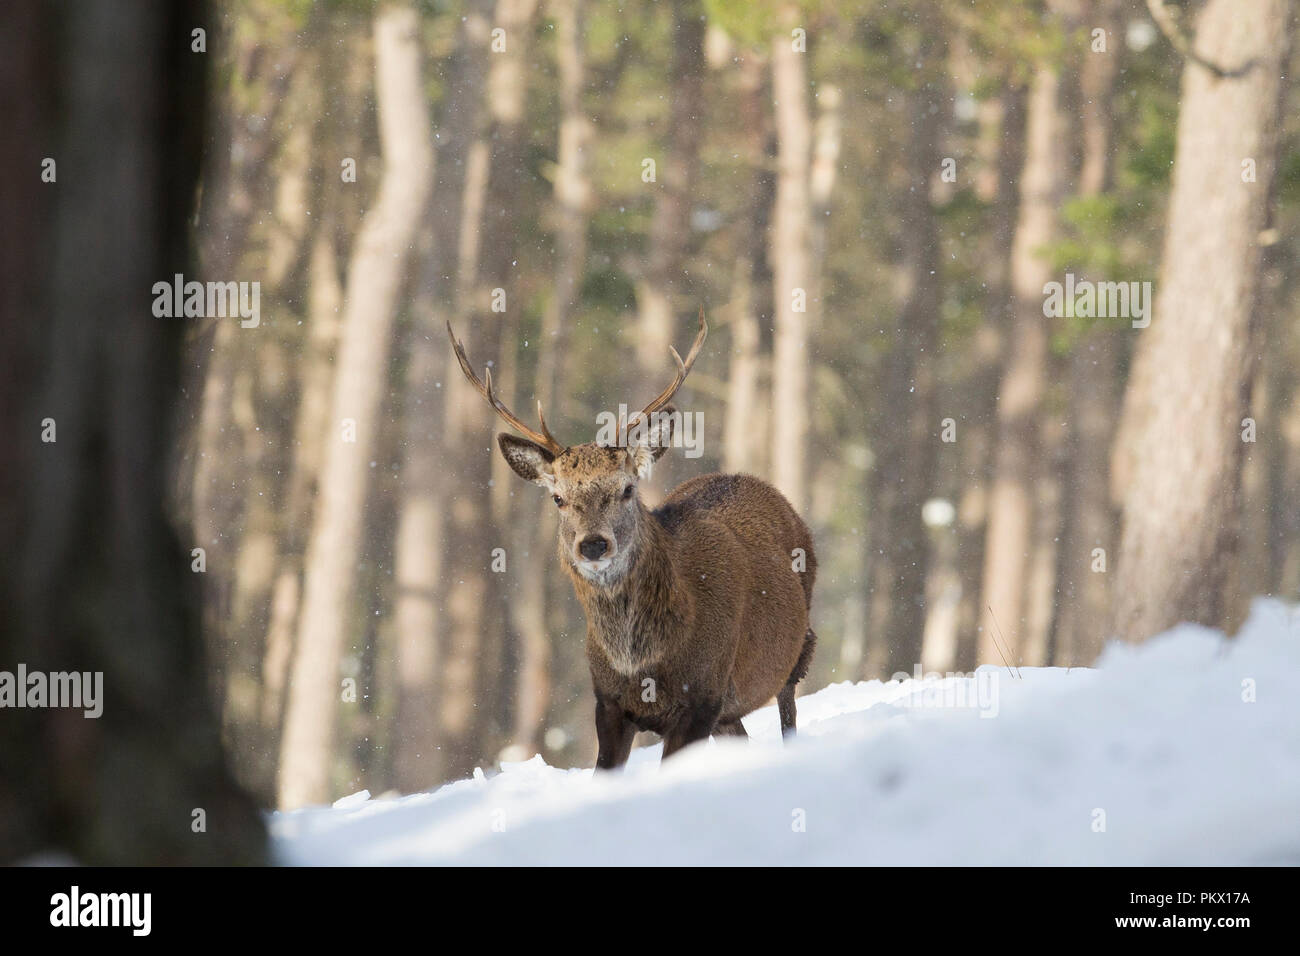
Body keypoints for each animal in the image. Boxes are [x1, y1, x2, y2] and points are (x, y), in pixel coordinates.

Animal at [446, 313, 817, 769]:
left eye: (626, 489)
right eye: (558, 498)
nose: (592, 545)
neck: (642, 663)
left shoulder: (703, 697)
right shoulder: (608, 705)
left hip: (797, 650)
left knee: (789, 713)